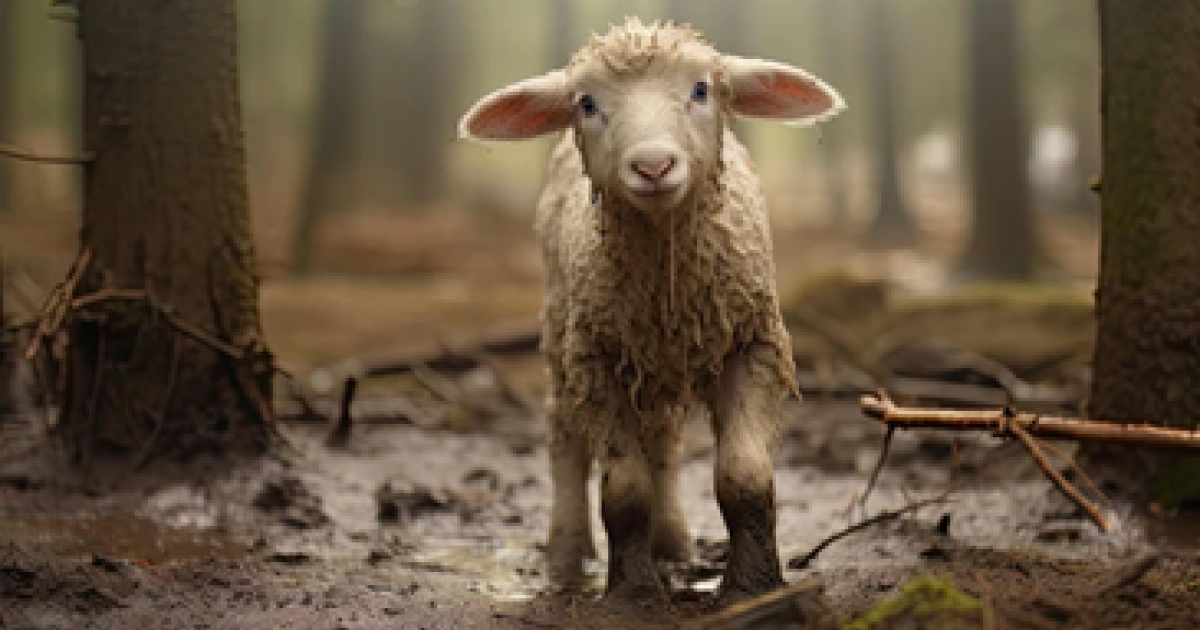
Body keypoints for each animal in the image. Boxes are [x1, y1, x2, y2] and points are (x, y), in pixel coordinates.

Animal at [458, 18, 844, 605]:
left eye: (702, 90)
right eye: (587, 103)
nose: (654, 165)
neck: (667, 285)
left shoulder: (753, 342)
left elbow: (744, 476)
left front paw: (752, 586)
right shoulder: (595, 358)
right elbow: (624, 490)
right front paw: (633, 591)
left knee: (662, 441)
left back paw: (672, 544)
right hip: (562, 328)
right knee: (565, 436)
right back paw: (568, 554)